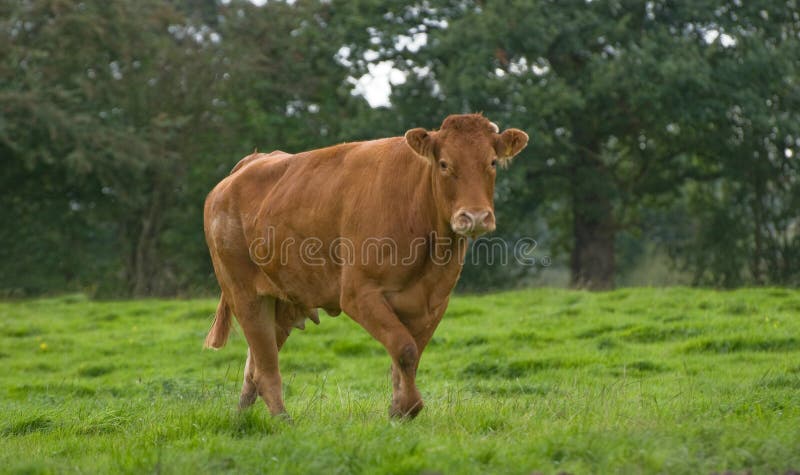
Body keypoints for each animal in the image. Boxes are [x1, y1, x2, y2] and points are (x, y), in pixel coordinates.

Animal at [203, 114, 528, 418]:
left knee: (253, 370)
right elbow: (404, 349)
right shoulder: (359, 294)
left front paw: (399, 408)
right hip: (245, 296)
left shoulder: (433, 303)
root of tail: (249, 164)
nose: (475, 216)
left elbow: (408, 357)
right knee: (266, 370)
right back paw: (284, 422)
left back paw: (242, 420)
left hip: (281, 304)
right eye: (444, 164)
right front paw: (408, 407)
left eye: (492, 162)